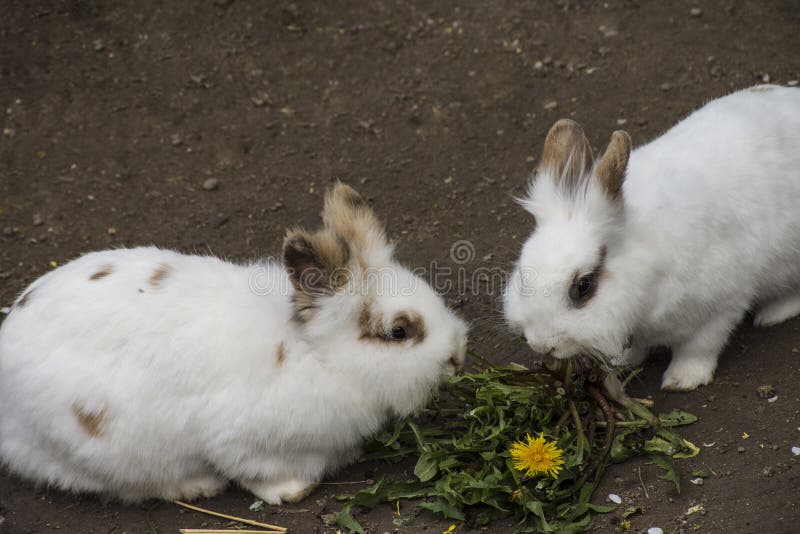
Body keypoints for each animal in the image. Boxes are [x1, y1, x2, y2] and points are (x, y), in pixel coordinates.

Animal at [0, 183, 468, 504]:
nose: (457, 356)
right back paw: (196, 486)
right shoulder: (240, 441)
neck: (316, 357)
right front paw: (293, 491)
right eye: (399, 332)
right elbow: (256, 472)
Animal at [504, 84, 800, 391]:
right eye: (523, 276)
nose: (540, 343)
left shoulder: (722, 306)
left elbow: (698, 348)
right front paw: (622, 363)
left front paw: (682, 380)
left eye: (584, 286)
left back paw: (772, 314)